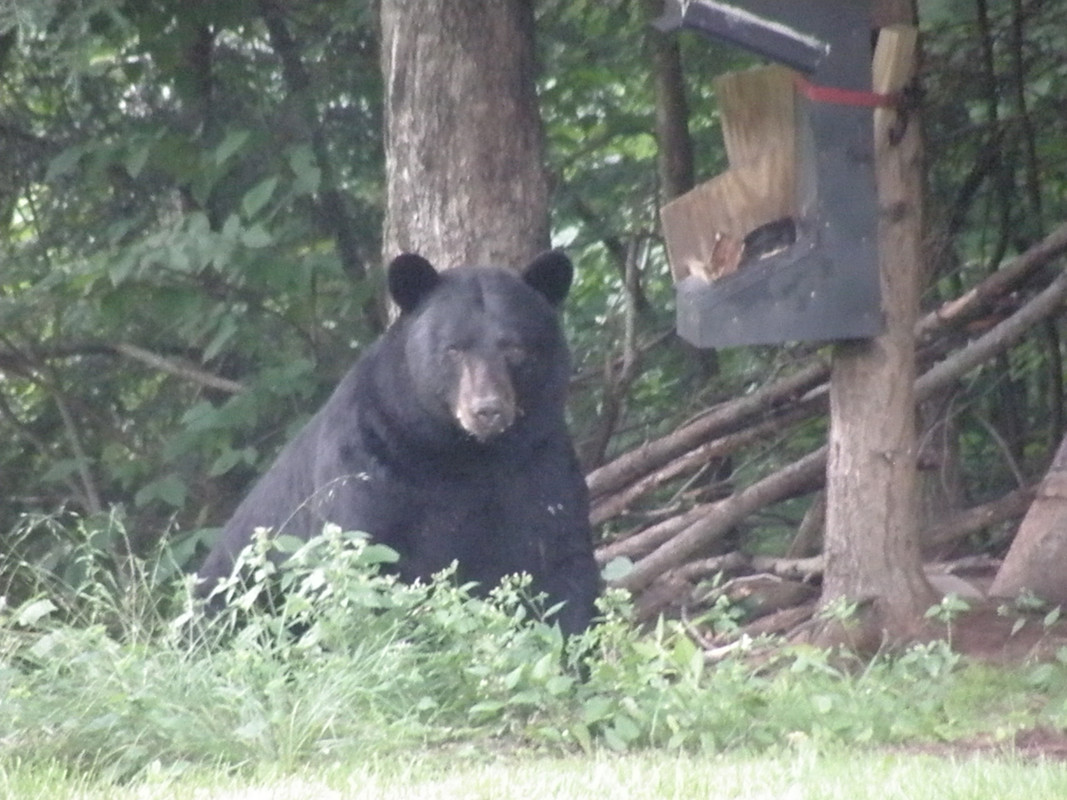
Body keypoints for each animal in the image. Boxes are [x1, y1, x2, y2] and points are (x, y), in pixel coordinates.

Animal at [196, 250, 599, 635]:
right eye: (453, 349)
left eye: (515, 348)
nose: (487, 410)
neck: (465, 454)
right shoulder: (371, 464)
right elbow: (364, 562)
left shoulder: (537, 462)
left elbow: (560, 564)